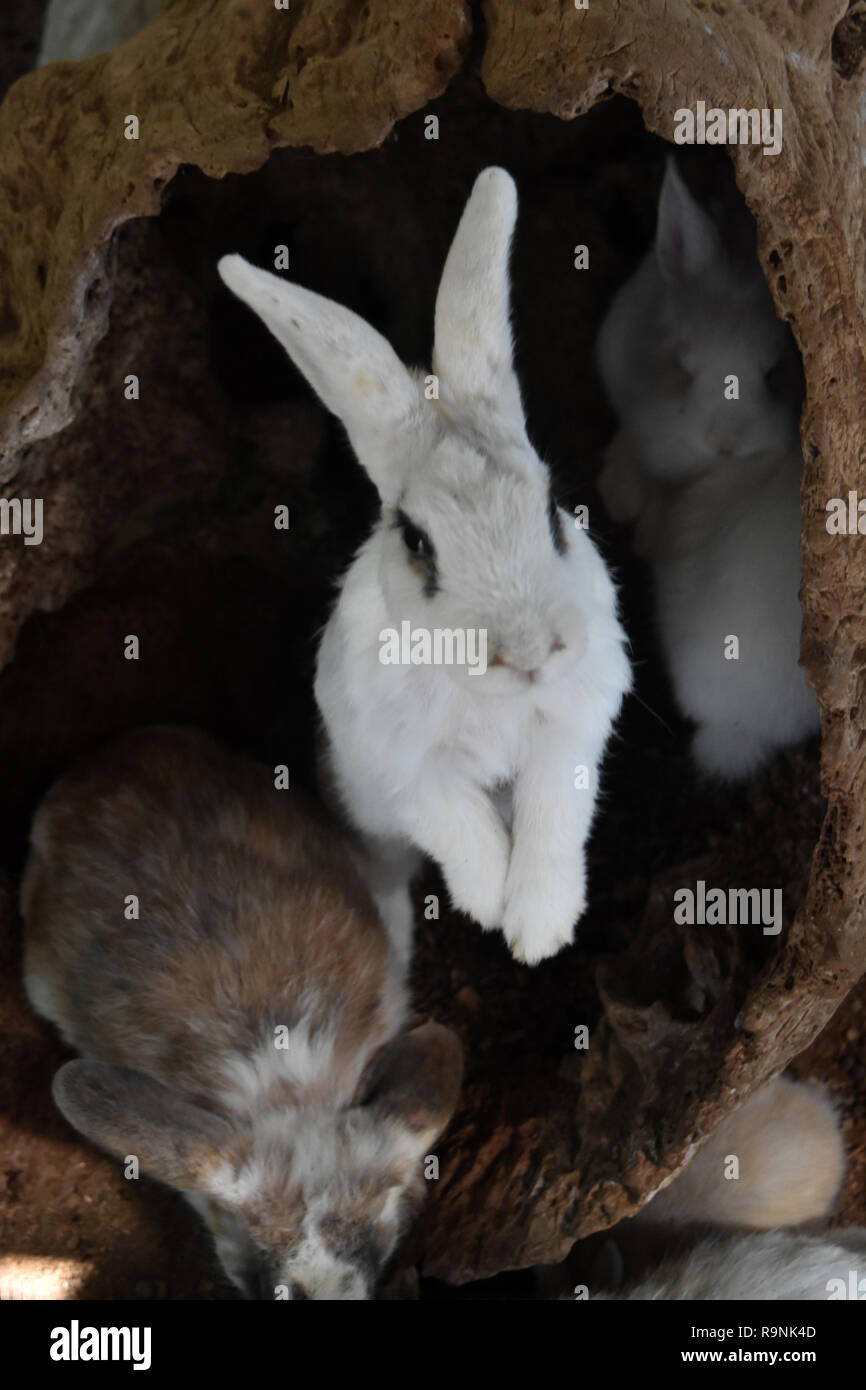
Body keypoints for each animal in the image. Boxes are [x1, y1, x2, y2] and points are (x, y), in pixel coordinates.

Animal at [217, 167, 631, 966]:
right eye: (415, 541)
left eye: (552, 507)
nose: (529, 655)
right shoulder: (399, 764)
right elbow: (458, 824)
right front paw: (491, 903)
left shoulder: (572, 728)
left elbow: (552, 819)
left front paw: (539, 928)